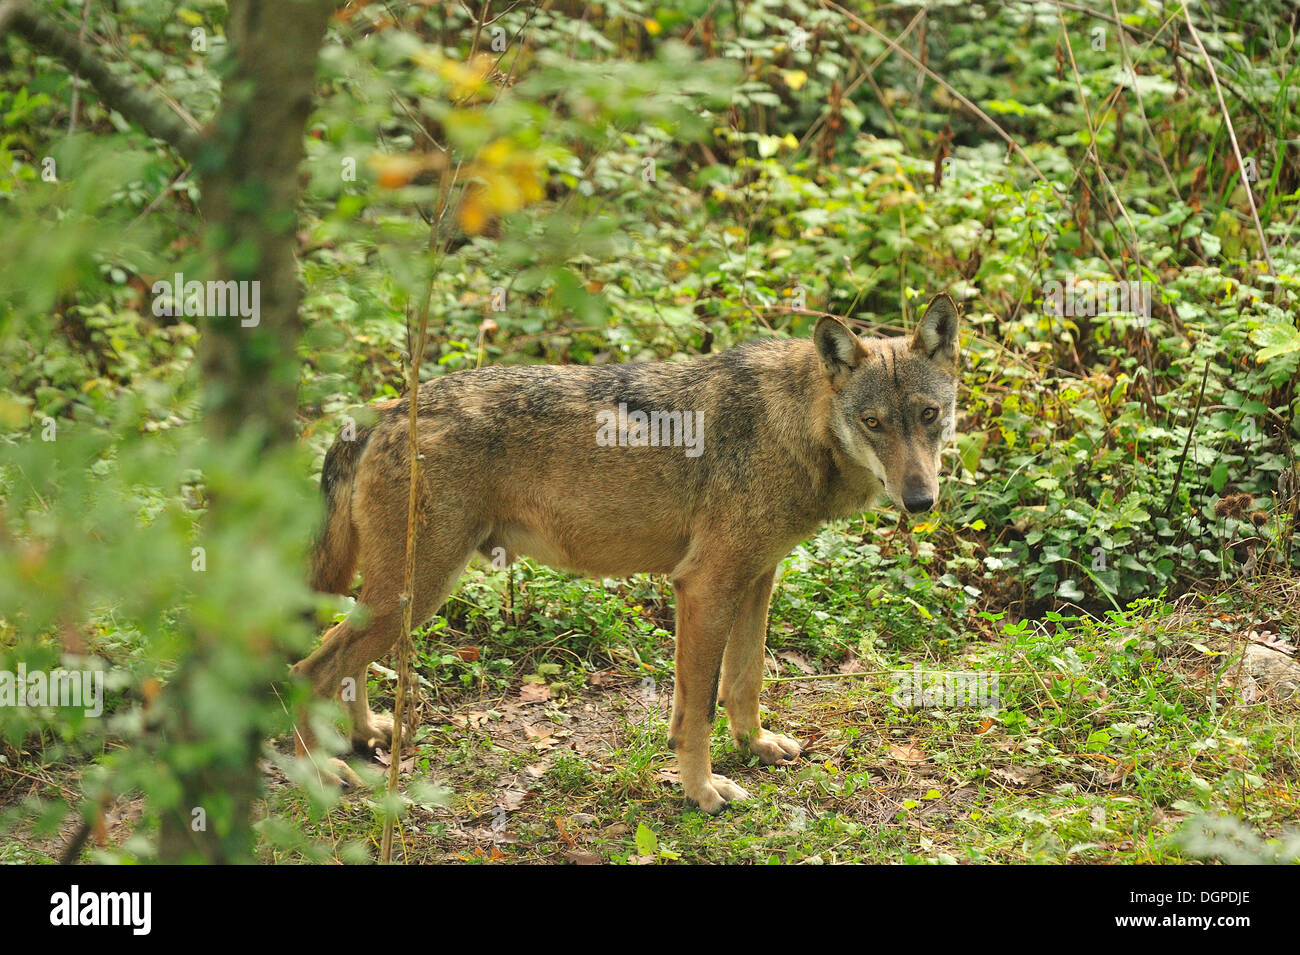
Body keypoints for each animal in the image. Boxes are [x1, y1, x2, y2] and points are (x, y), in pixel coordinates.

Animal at [294, 292, 960, 813]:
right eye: (873, 423)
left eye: (929, 415)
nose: (921, 500)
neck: (795, 425)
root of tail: (382, 410)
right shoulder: (704, 585)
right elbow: (697, 712)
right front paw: (703, 791)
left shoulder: (756, 577)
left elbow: (744, 683)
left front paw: (756, 746)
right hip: (419, 590)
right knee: (310, 669)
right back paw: (320, 773)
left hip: (402, 597)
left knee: (339, 657)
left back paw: (367, 734)